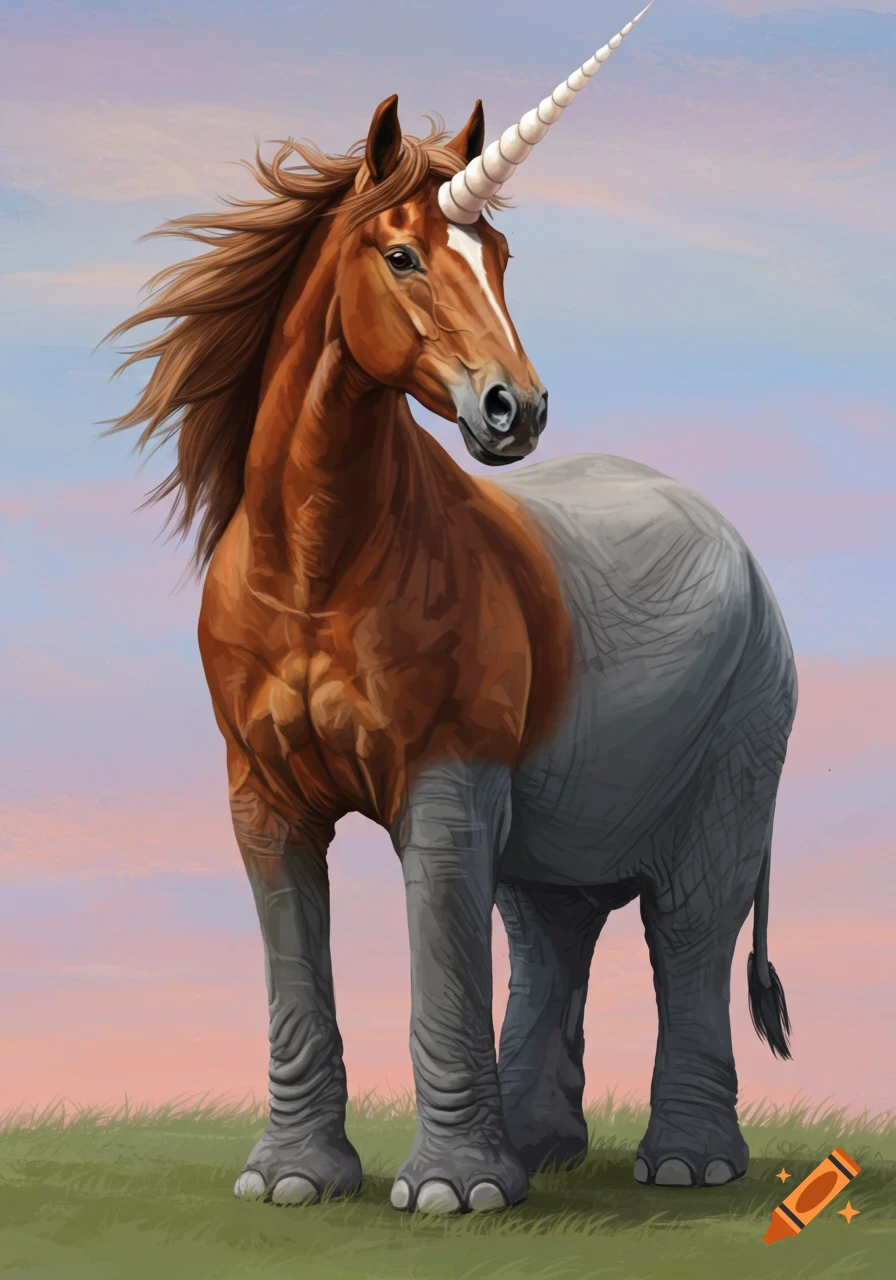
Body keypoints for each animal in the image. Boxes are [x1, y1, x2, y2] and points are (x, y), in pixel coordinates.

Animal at [103, 4, 796, 1215]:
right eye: (400, 254)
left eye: (504, 256)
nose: (515, 412)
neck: (314, 558)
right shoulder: (254, 778)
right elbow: (292, 922)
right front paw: (291, 1188)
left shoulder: (450, 747)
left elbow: (440, 905)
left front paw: (447, 1200)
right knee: (549, 910)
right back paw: (541, 1154)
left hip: (749, 710)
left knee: (687, 916)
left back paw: (683, 1171)